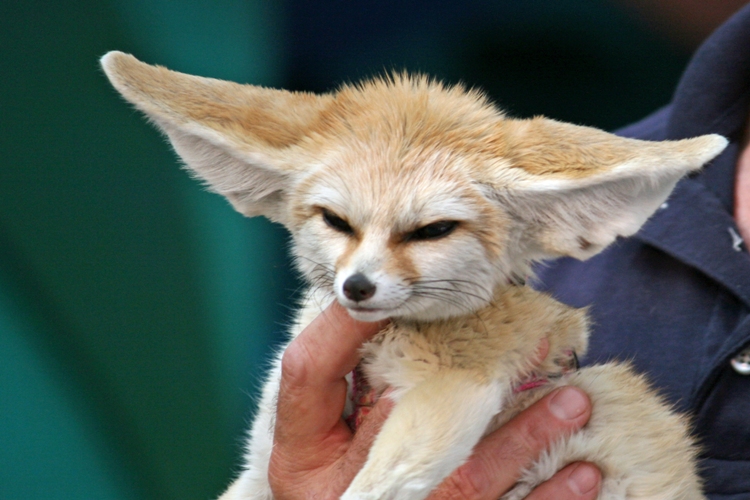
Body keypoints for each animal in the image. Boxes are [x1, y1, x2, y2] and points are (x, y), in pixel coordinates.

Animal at [101, 51, 728, 500]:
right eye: (337, 221)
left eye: (433, 231)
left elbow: (368, 491)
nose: (357, 287)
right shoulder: (264, 456)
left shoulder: (457, 392)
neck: (383, 344)